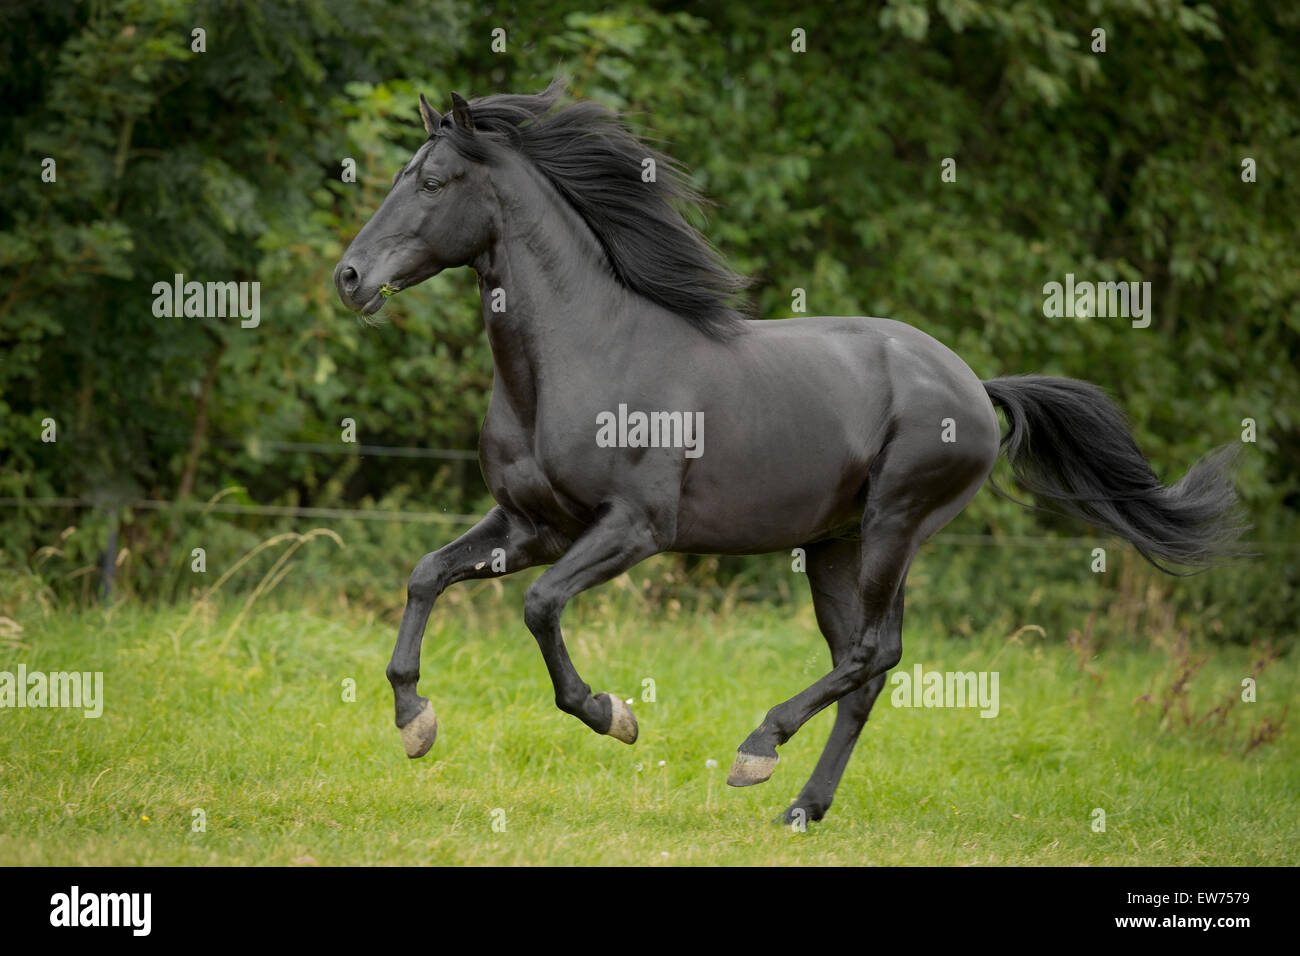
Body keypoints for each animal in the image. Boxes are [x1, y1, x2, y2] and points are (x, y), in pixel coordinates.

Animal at [333, 80, 1241, 824]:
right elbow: (426, 574)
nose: (348, 278)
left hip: (894, 527)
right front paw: (415, 724)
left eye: (433, 182)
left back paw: (757, 750)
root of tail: (974, 386)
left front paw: (614, 716)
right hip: (836, 545)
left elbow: (540, 606)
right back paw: (802, 807)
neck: (581, 355)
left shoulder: (632, 529)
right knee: (867, 671)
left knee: (873, 653)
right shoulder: (532, 526)